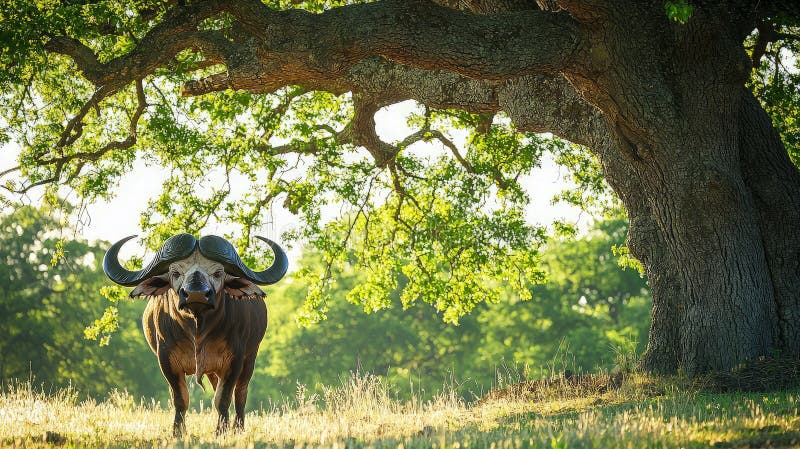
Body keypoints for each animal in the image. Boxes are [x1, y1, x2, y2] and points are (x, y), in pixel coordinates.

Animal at [103, 233, 287, 436]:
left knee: (240, 392)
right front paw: (178, 431)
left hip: (250, 358)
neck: (198, 330)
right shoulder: (167, 360)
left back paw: (238, 427)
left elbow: (223, 398)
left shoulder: (235, 360)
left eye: (218, 273)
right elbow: (180, 398)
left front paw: (221, 430)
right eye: (175, 273)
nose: (195, 294)